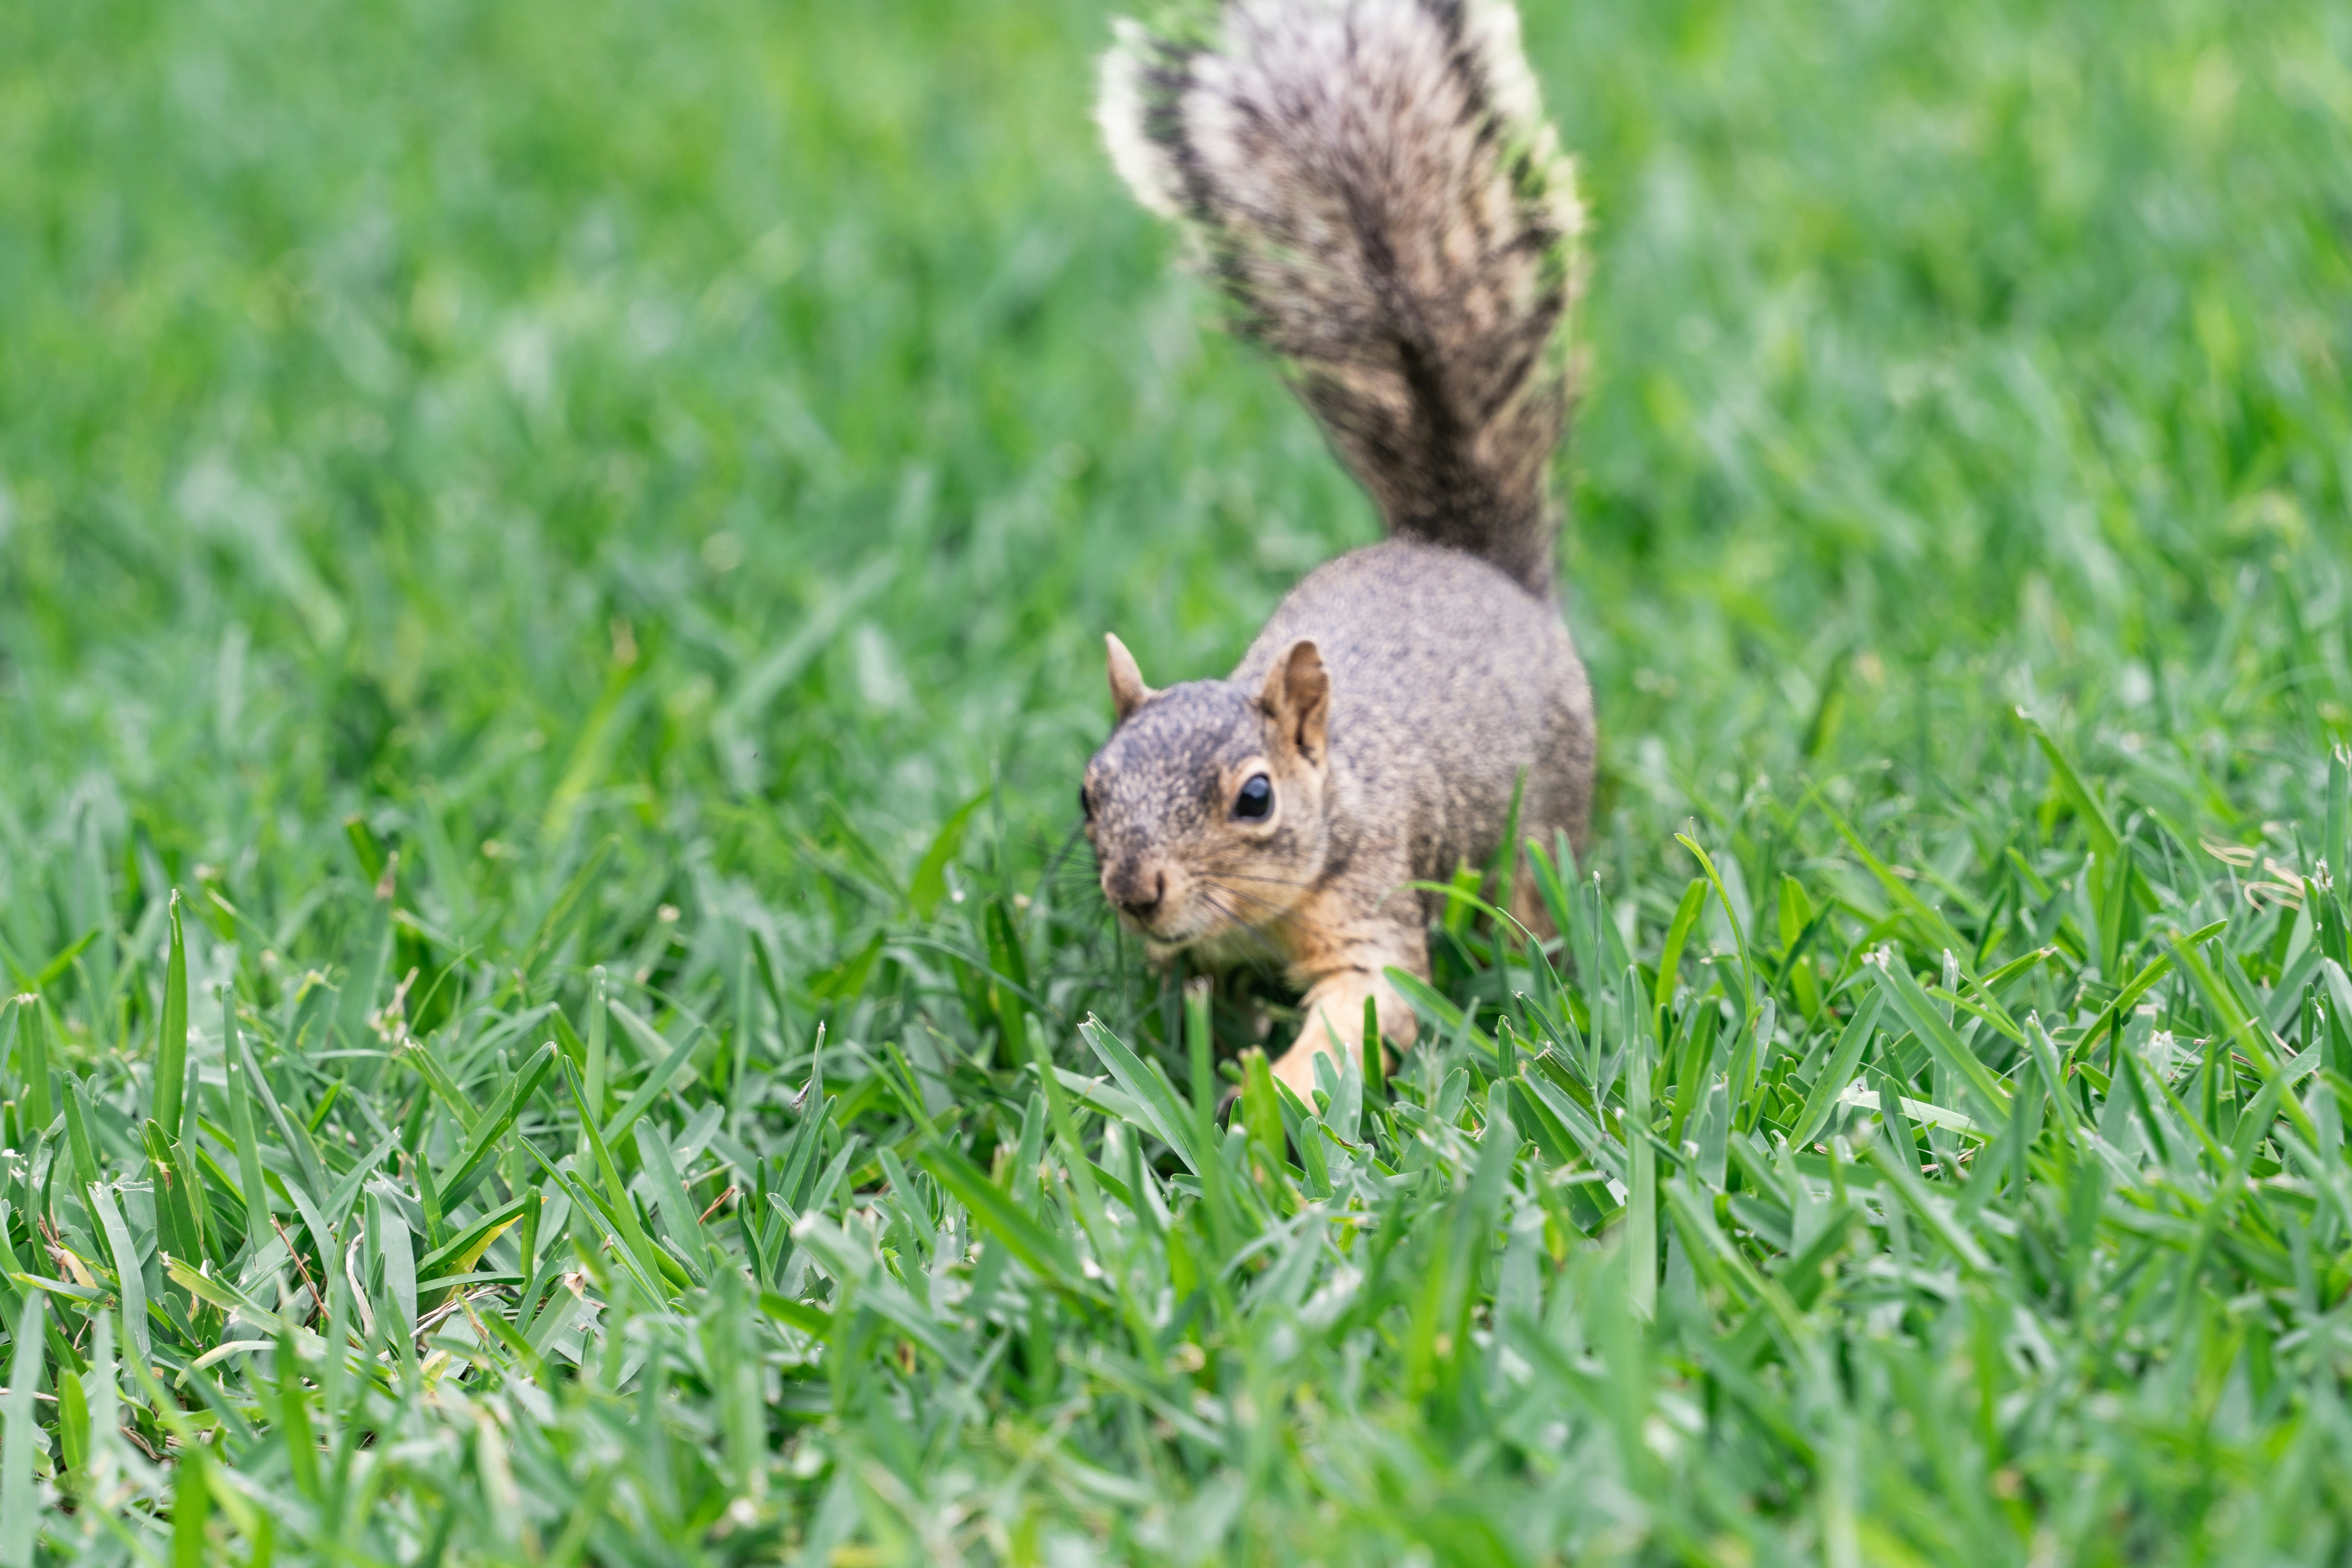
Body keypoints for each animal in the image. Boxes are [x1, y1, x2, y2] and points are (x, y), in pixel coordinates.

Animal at [1081, 0, 1597, 1099]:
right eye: (1087, 792)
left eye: (1255, 796)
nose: (1135, 891)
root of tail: (1471, 561)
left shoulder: (1368, 902)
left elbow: (1367, 1009)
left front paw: (1256, 1105)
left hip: (1545, 812)